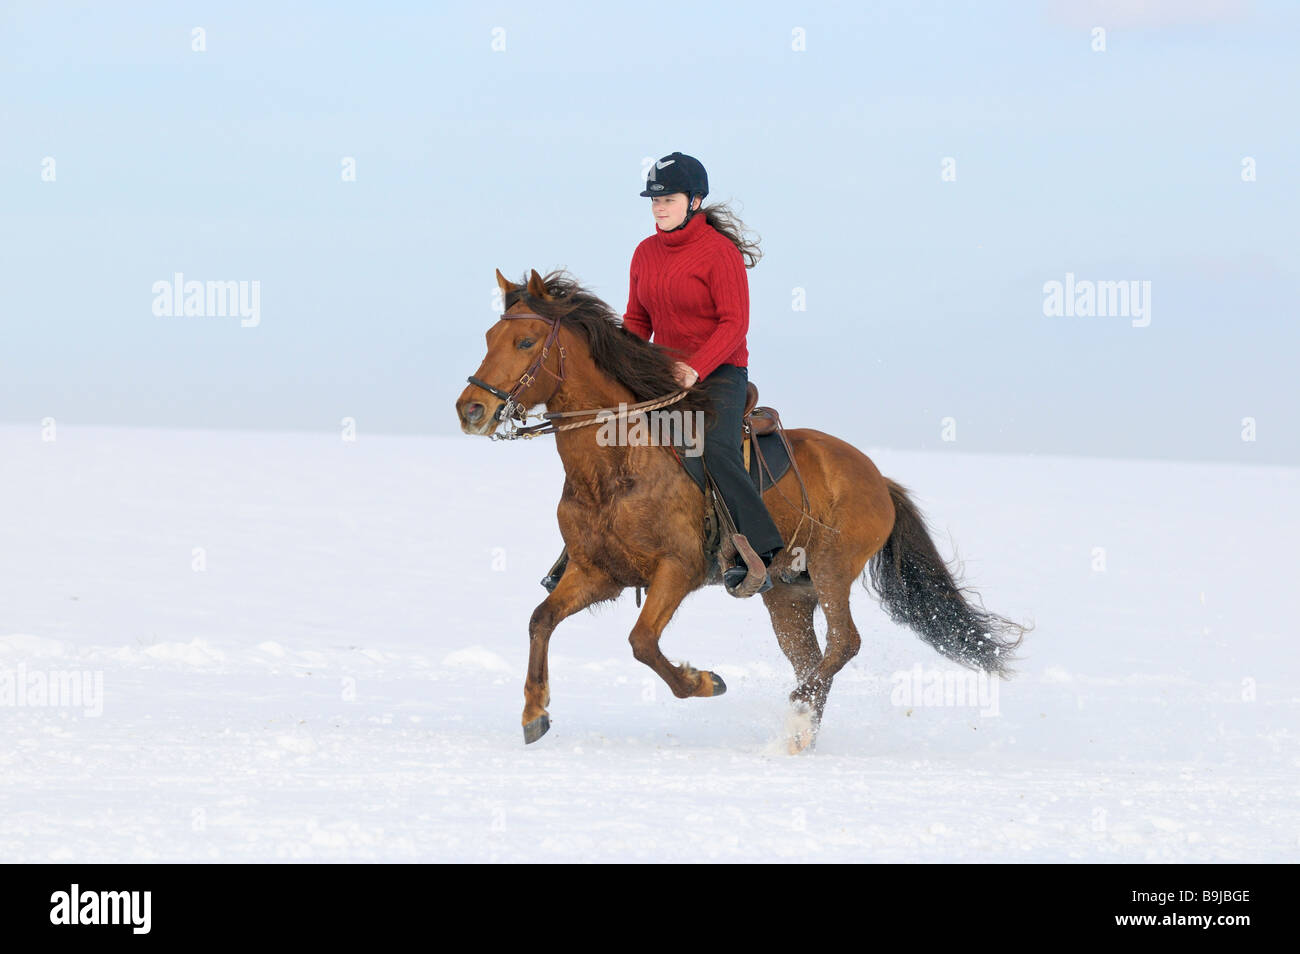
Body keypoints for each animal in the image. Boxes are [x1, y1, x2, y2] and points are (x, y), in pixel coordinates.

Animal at [456, 268, 1028, 752]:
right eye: (487, 339)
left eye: (526, 341)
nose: (471, 410)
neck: (616, 465)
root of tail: (878, 479)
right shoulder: (598, 572)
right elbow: (541, 620)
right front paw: (534, 712)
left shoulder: (678, 569)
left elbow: (642, 642)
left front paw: (704, 681)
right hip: (787, 596)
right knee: (812, 658)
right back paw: (798, 735)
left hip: (831, 569)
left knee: (843, 644)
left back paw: (796, 715)